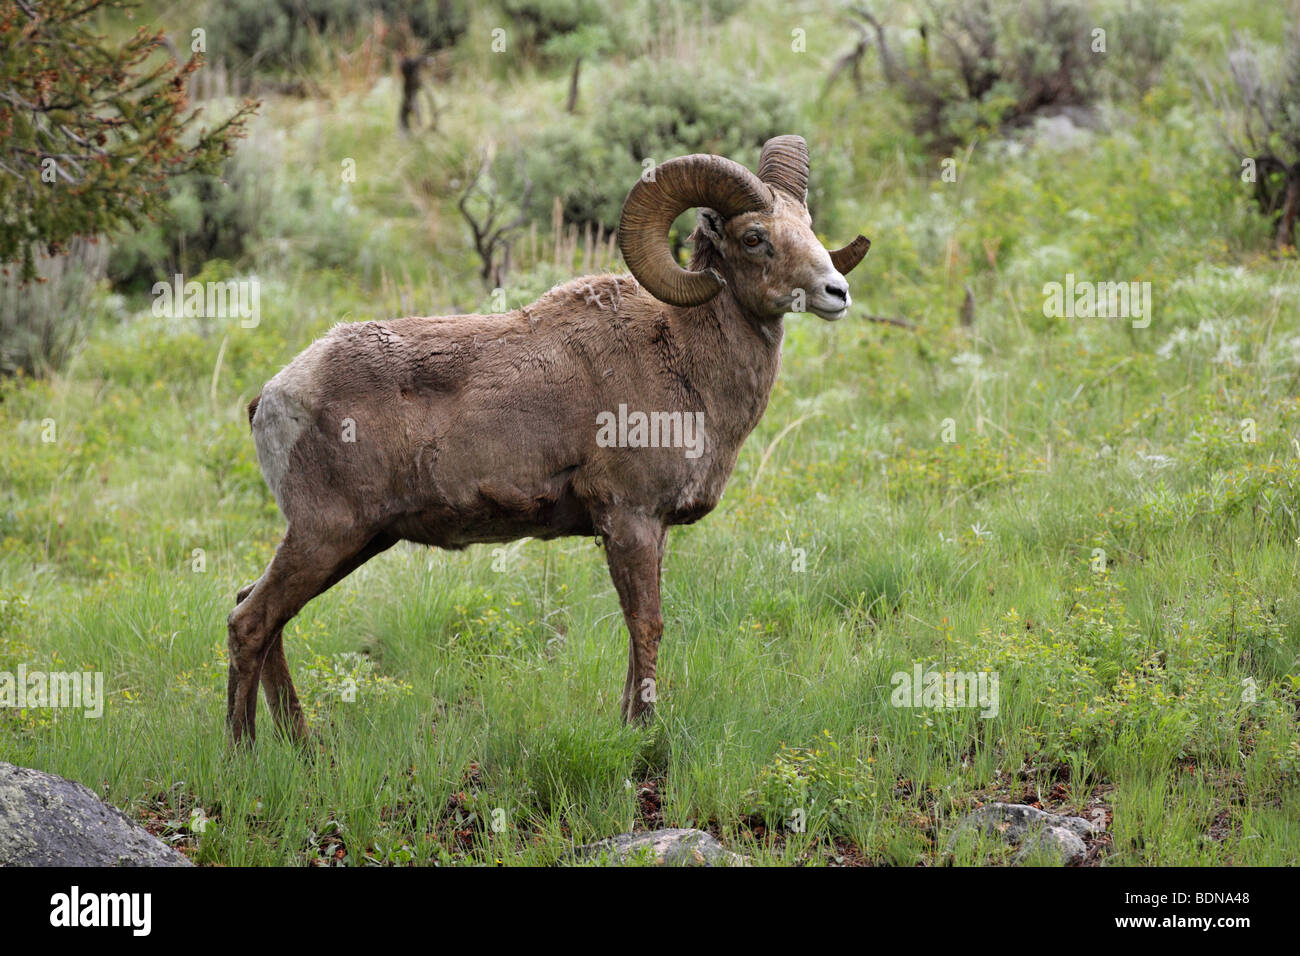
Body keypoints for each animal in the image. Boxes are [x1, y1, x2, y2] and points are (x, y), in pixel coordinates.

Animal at [228, 134, 870, 744]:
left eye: (808, 225)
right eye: (755, 237)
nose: (836, 292)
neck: (683, 358)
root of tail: (272, 397)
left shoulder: (652, 529)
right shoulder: (630, 519)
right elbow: (647, 624)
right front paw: (644, 733)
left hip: (354, 541)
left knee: (260, 614)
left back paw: (302, 746)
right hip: (326, 535)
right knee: (250, 623)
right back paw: (245, 752)